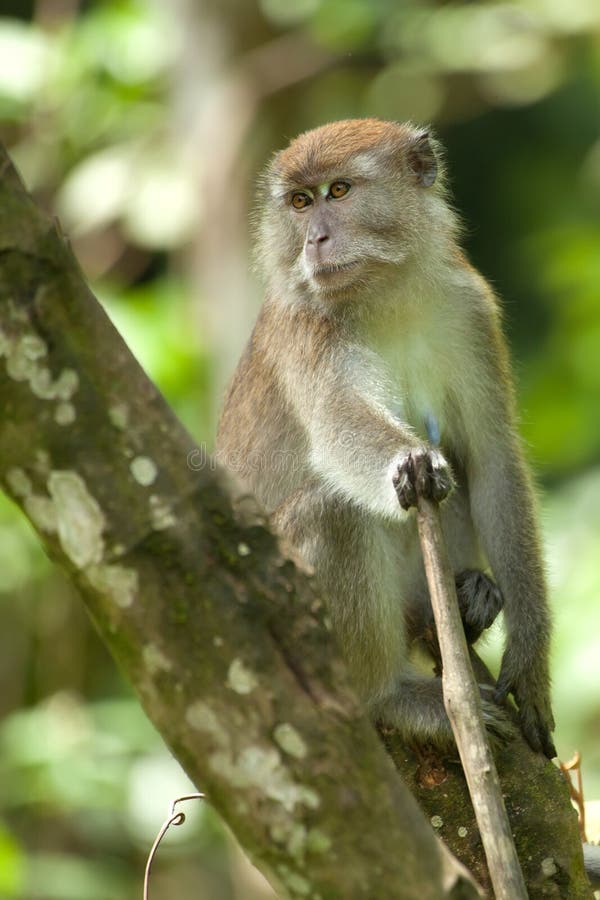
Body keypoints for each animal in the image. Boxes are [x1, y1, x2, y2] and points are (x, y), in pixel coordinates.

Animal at [216, 118, 556, 758]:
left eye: (339, 191)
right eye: (300, 203)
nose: (314, 240)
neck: (384, 293)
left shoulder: (469, 306)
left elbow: (492, 459)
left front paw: (529, 657)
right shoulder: (306, 327)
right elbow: (339, 426)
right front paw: (410, 460)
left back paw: (471, 600)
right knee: (330, 511)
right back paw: (391, 697)